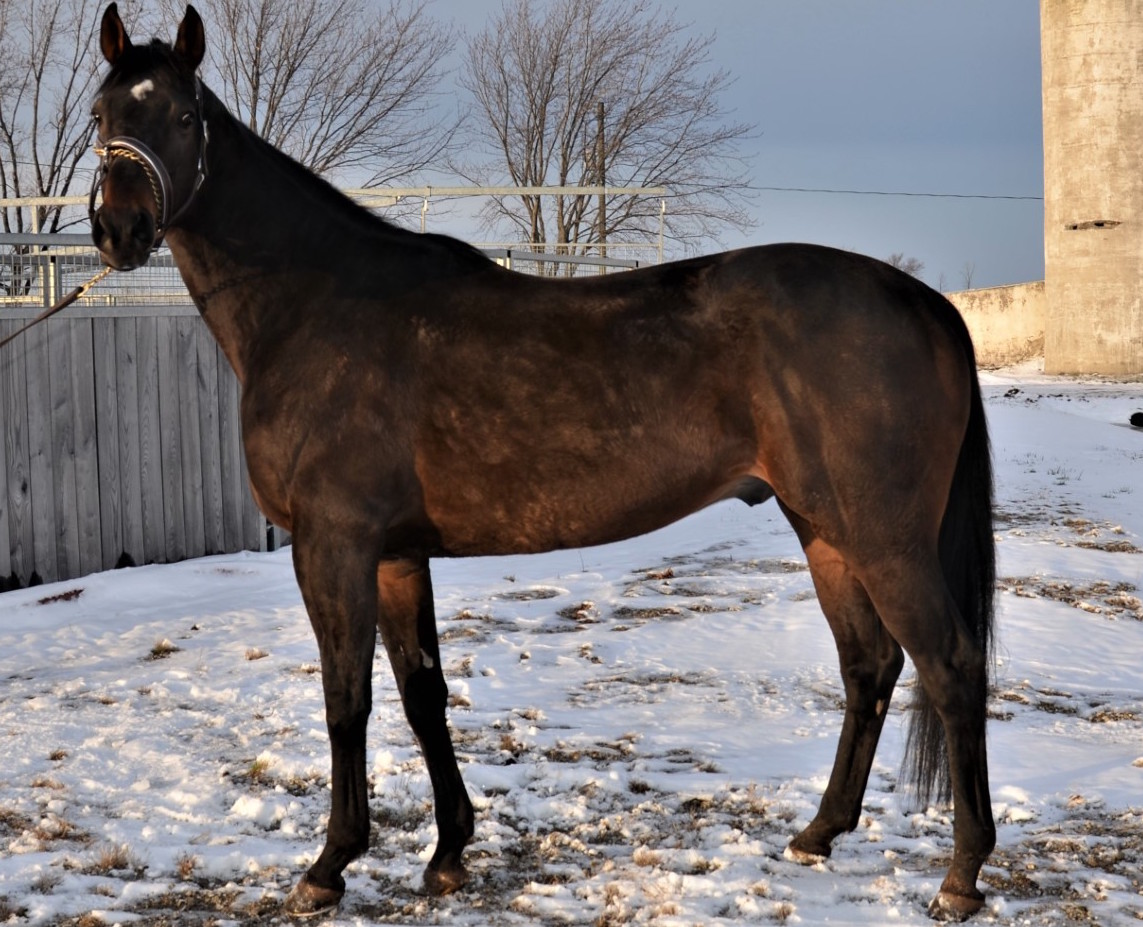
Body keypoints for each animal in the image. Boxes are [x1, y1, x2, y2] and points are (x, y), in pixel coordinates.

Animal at [90, 4, 997, 919]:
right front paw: (449, 851)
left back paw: (960, 873)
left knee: (950, 665)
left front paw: (329, 864)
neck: (315, 303)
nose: (116, 231)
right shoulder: (394, 554)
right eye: (102, 114)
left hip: (883, 537)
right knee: (868, 664)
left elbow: (346, 696)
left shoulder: (332, 545)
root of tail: (922, 301)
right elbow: (422, 692)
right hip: (823, 527)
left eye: (180, 116)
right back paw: (818, 832)